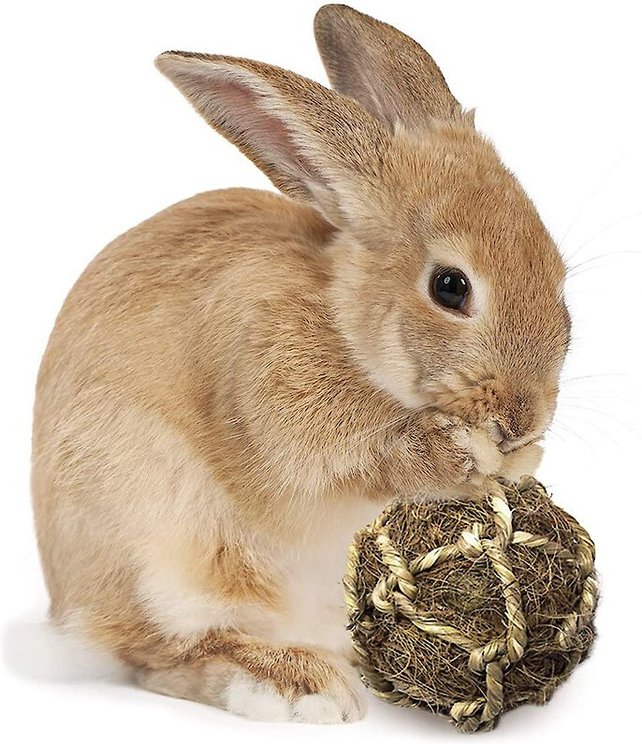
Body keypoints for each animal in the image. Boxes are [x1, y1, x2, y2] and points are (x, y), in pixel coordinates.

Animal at [32, 3, 570, 725]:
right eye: (450, 287)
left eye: (557, 272)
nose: (522, 419)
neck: (347, 327)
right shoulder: (279, 409)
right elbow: (357, 457)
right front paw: (461, 454)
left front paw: (517, 461)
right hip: (160, 548)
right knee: (163, 655)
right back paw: (298, 684)